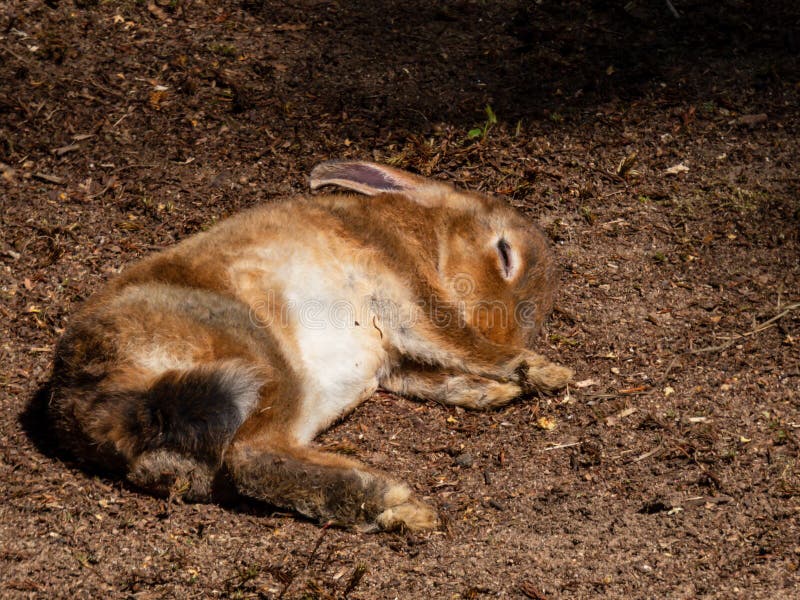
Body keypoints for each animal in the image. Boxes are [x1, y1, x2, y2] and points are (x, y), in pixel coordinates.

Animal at [47, 160, 573, 532]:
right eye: (504, 254)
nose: (503, 330)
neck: (424, 232)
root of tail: (103, 410)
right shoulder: (408, 292)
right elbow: (460, 342)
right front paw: (541, 371)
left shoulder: (394, 358)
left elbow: (433, 377)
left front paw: (493, 392)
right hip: (259, 362)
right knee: (251, 457)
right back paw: (398, 504)